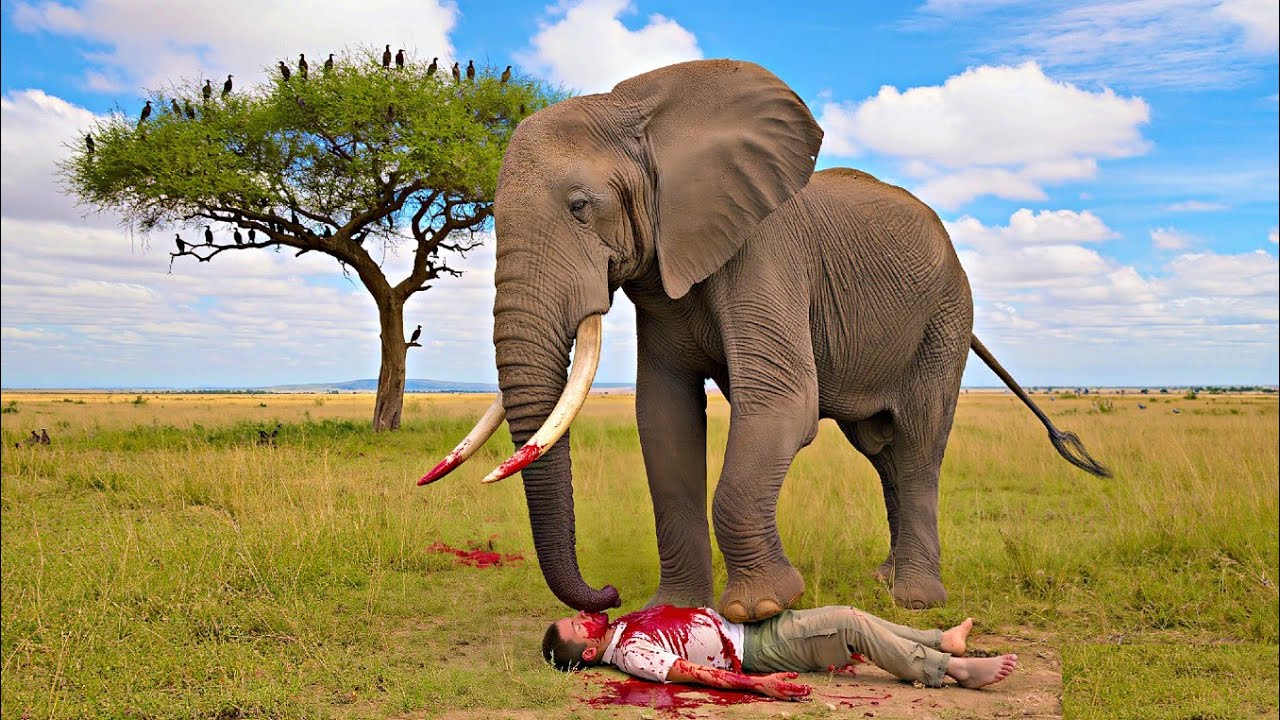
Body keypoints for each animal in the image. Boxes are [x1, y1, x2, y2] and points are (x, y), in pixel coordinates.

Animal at [420, 59, 1109, 621]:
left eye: (581, 207)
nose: (607, 596)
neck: (641, 113)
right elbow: (664, 418)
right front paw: (674, 609)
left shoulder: (765, 252)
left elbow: (781, 403)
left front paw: (763, 608)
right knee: (881, 448)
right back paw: (884, 580)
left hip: (943, 317)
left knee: (916, 443)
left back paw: (915, 600)